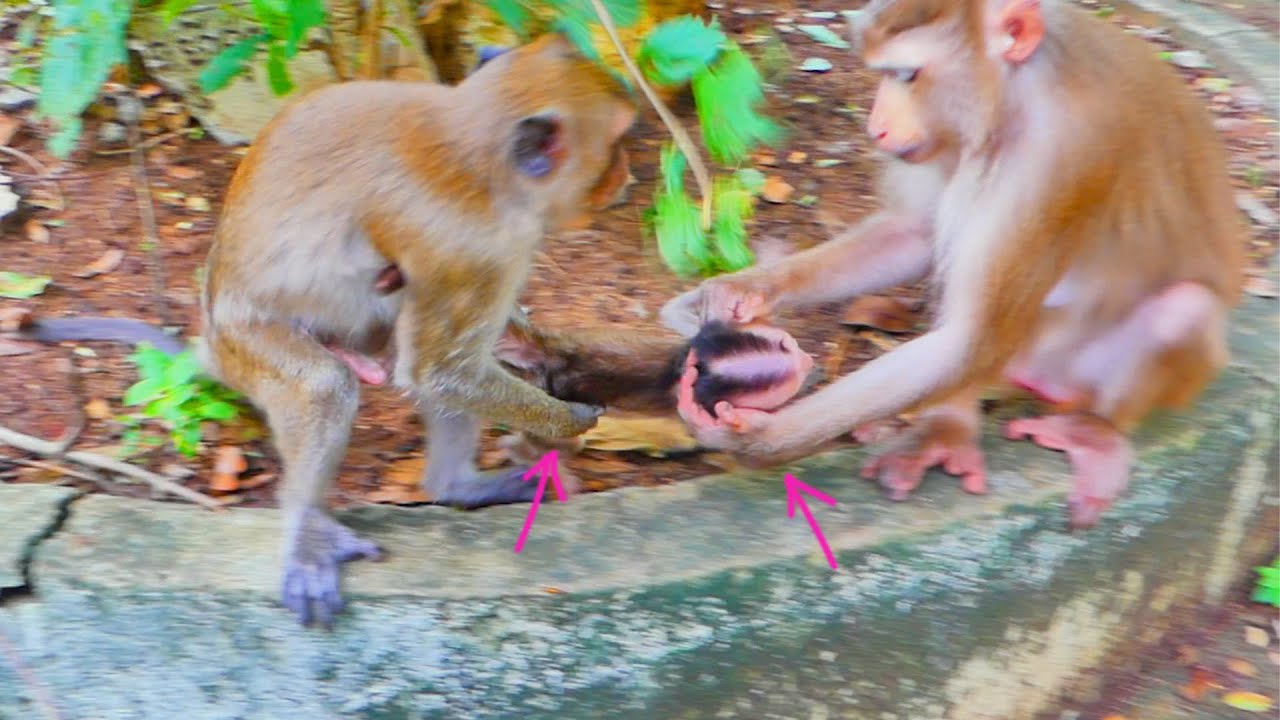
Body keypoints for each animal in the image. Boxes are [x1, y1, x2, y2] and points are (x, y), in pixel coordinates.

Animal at [195, 33, 640, 627]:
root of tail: (210, 334)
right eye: (616, 141)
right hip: (246, 343)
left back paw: (459, 487)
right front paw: (571, 420)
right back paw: (308, 532)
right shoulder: (475, 249)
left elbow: (448, 368)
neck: (472, 156)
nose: (626, 171)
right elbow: (441, 372)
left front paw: (532, 346)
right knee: (328, 385)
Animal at [661, 0, 1243, 530]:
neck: (1015, 99)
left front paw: (762, 439)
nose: (875, 126)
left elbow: (973, 338)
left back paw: (1093, 432)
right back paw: (945, 425)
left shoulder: (1064, 154)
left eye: (906, 75)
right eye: (882, 74)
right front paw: (743, 288)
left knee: (1180, 308)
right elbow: (915, 235)